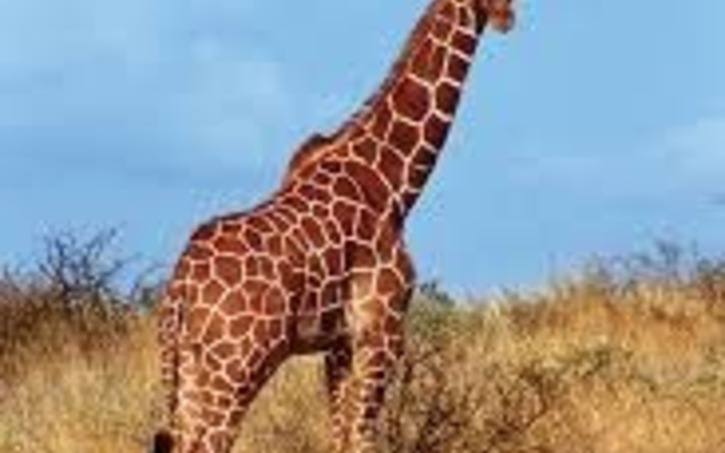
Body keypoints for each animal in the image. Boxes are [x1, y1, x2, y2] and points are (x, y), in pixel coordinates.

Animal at [153, 0, 515, 452]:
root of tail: (180, 287)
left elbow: (340, 436)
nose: (510, 17)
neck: (392, 185)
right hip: (235, 367)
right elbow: (361, 437)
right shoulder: (381, 330)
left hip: (189, 365)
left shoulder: (338, 343)